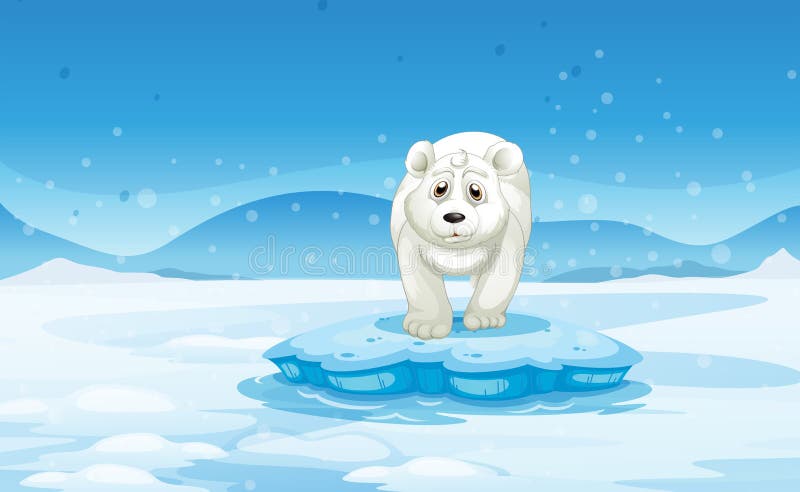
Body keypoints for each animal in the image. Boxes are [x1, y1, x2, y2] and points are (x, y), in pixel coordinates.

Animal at [390, 131, 532, 339]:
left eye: (476, 191)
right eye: (440, 189)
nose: (454, 216)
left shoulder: (507, 233)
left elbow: (499, 277)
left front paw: (484, 319)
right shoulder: (411, 237)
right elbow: (420, 280)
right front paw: (426, 325)